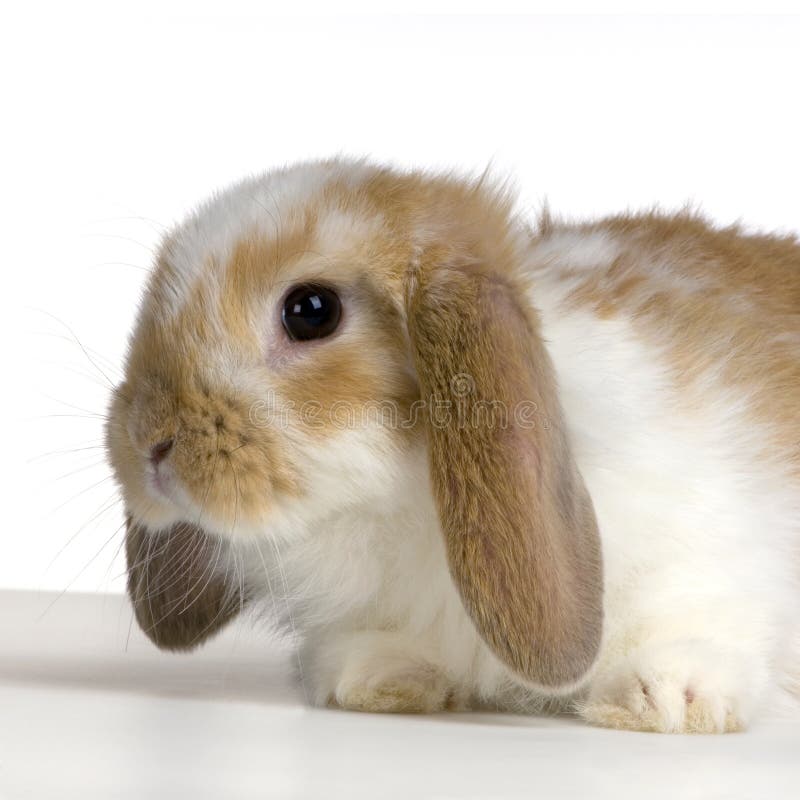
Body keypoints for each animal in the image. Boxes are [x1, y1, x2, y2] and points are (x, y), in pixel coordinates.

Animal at [106, 158, 800, 733]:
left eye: (311, 310)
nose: (149, 443)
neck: (404, 495)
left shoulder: (711, 550)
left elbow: (702, 616)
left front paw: (662, 696)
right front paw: (378, 677)